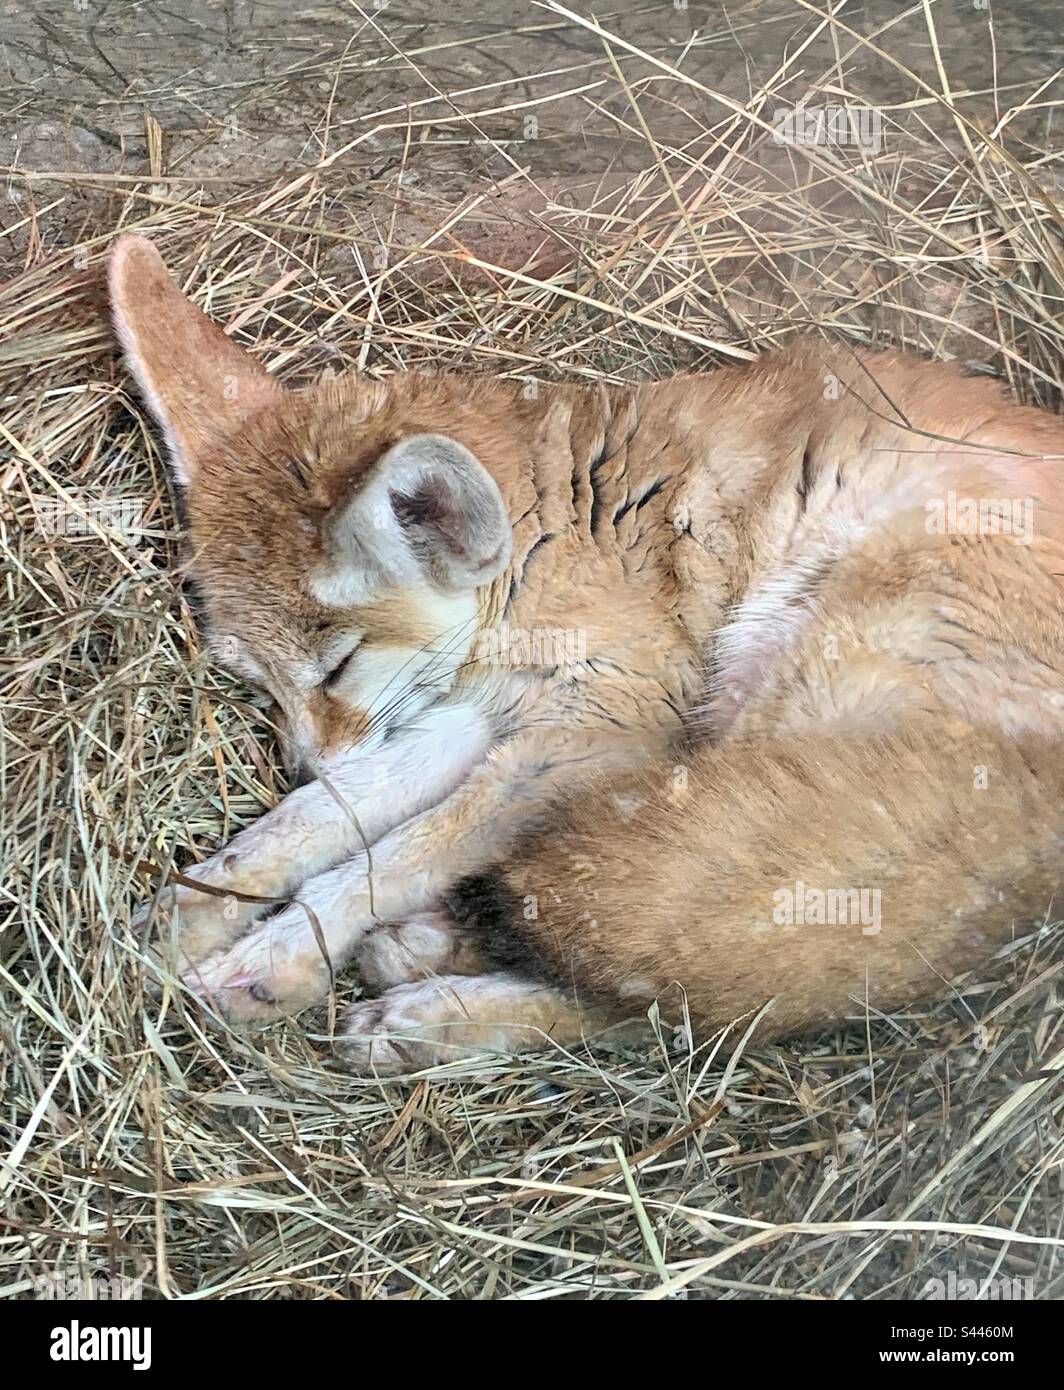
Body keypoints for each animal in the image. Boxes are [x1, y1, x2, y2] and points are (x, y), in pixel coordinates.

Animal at [110, 233, 1064, 1073]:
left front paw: (280, 957)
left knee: (708, 991)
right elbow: (326, 819)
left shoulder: (595, 729)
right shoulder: (480, 713)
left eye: (337, 666)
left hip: (772, 683)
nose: (298, 759)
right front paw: (208, 899)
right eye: (256, 682)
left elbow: (402, 853)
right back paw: (434, 950)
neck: (556, 537)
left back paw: (435, 1013)